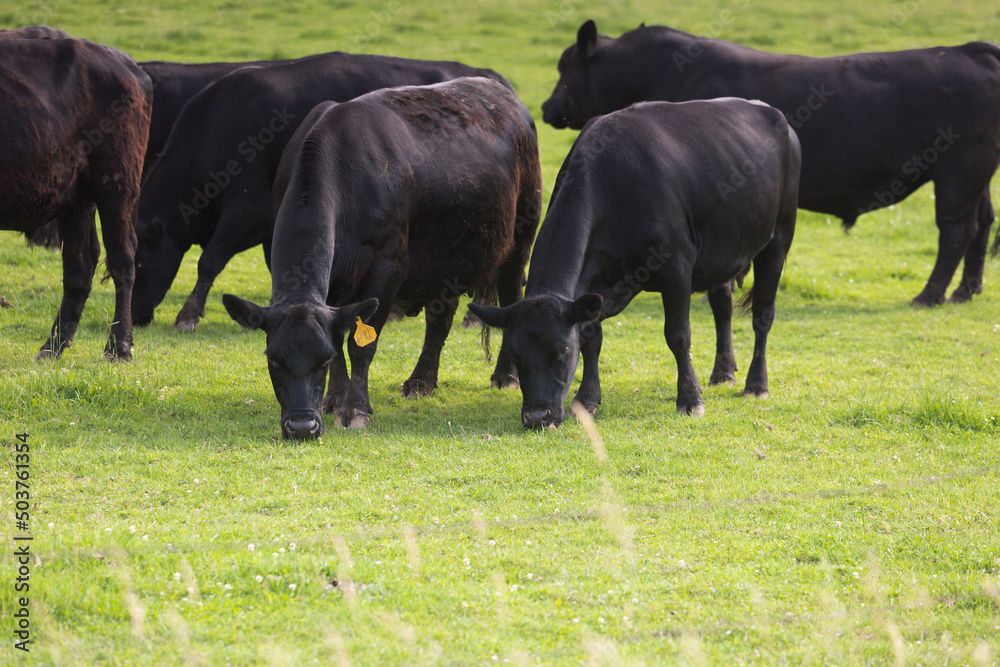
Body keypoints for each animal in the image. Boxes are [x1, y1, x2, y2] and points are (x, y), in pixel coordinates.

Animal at [0, 38, 152, 360]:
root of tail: (127, 64)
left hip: (116, 185)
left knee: (122, 259)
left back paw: (119, 346)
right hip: (77, 197)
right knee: (80, 264)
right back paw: (53, 345)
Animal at [222, 77, 542, 439]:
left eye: (320, 361)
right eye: (273, 360)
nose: (302, 426)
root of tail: (501, 91)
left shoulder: (386, 269)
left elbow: (360, 345)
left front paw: (355, 409)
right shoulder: (334, 290)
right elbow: (338, 337)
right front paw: (334, 398)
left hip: (519, 241)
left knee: (511, 299)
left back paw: (505, 376)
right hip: (446, 261)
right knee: (440, 318)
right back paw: (421, 381)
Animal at [469, 98, 800, 428]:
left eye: (562, 349)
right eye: (514, 353)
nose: (537, 416)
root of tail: (769, 110)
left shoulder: (677, 267)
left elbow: (678, 335)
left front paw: (690, 399)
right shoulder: (593, 288)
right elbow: (591, 339)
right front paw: (587, 399)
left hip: (779, 238)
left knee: (763, 315)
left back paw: (756, 384)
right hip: (723, 253)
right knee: (723, 306)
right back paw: (723, 372)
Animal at [542, 20, 1000, 307]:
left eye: (565, 67)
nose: (546, 107)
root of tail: (971, 50)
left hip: (958, 173)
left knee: (957, 230)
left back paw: (930, 295)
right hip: (974, 177)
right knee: (983, 223)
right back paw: (966, 291)